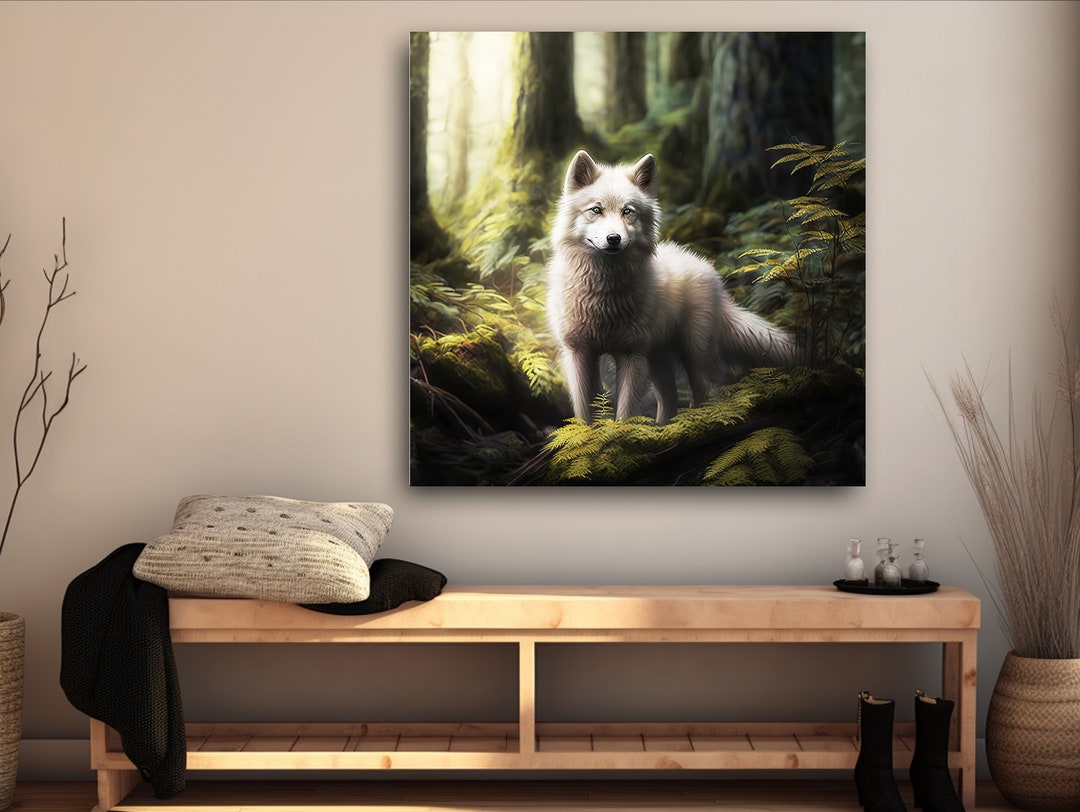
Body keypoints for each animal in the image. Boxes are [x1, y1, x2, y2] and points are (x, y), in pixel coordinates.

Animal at [546, 149, 798, 425]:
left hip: (694, 356)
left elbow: (625, 413)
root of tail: (709, 271)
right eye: (596, 210)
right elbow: (584, 413)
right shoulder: (579, 353)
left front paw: (620, 435)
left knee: (706, 393)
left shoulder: (632, 354)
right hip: (657, 358)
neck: (602, 293)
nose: (614, 239)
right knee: (670, 397)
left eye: (628, 212)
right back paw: (660, 428)